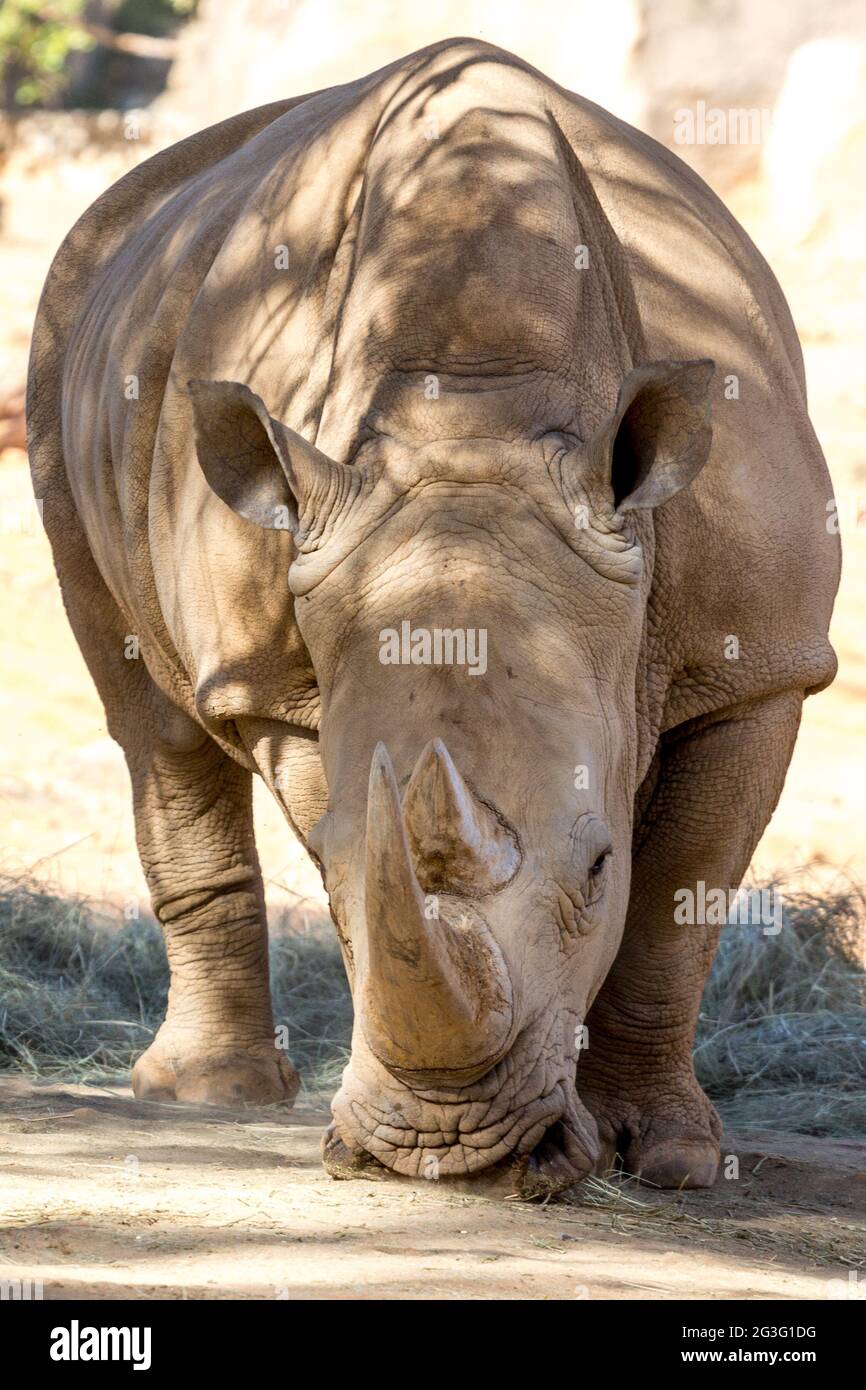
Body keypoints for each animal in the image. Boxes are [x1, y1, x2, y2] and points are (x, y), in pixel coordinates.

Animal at [28, 38, 839, 1195]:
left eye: (598, 865)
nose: (448, 1150)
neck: (478, 418)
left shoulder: (760, 661)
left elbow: (677, 901)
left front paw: (670, 1158)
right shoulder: (280, 668)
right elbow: (355, 836)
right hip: (64, 334)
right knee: (158, 723)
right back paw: (207, 1095)